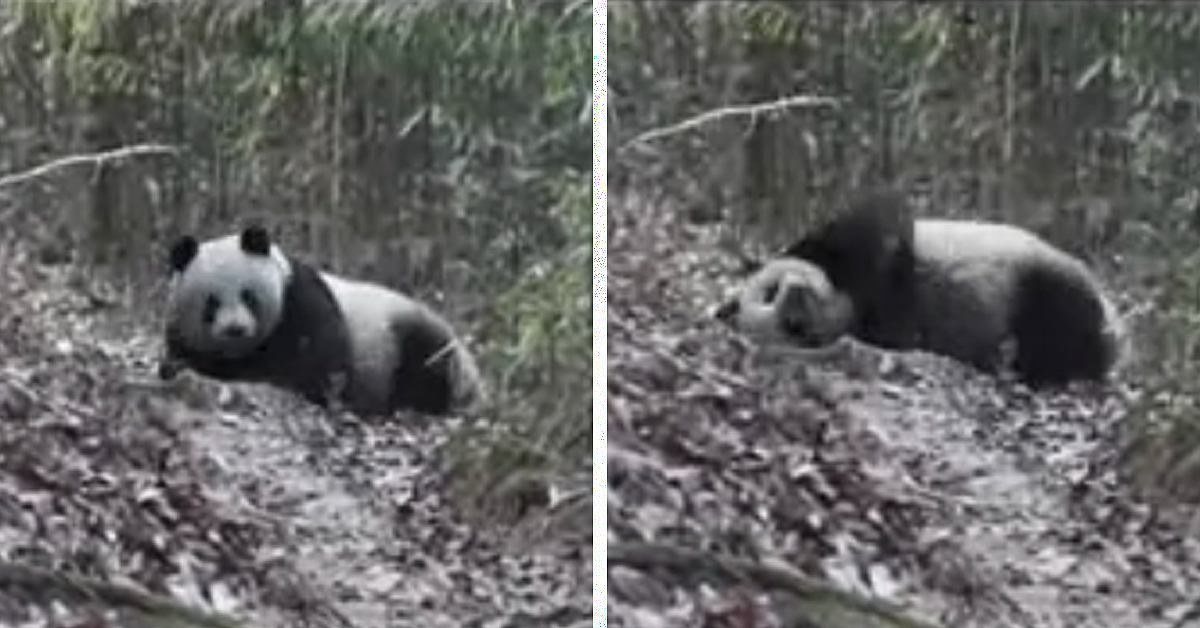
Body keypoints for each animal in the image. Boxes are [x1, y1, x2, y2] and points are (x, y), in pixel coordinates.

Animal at [157, 225, 486, 417]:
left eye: (248, 296)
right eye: (211, 303)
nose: (234, 329)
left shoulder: (299, 298)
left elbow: (319, 363)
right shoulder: (178, 326)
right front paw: (179, 366)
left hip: (405, 336)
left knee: (429, 364)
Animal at [715, 190, 1127, 387]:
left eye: (770, 294)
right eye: (797, 330)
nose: (798, 302)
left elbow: (879, 221)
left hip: (1037, 268)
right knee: (1059, 328)